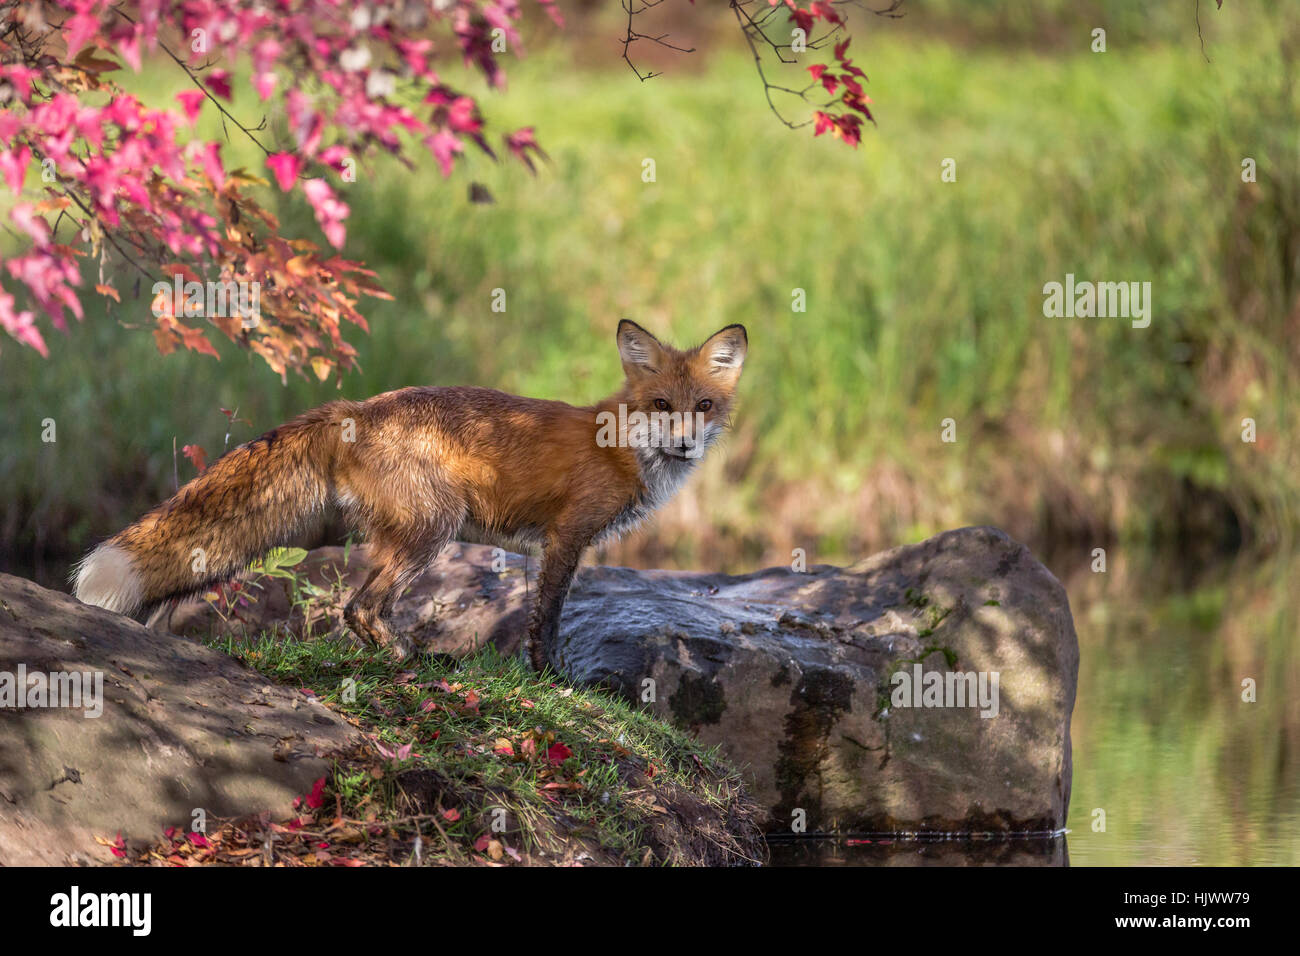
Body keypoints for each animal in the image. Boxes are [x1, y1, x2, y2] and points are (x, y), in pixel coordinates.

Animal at [73, 320, 748, 671]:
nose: (686, 444)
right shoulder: (566, 538)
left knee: (357, 605)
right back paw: (405, 659)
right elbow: (547, 622)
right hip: (435, 528)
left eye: (702, 406)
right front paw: (552, 679)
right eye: (661, 404)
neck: (617, 445)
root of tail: (356, 407)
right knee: (359, 606)